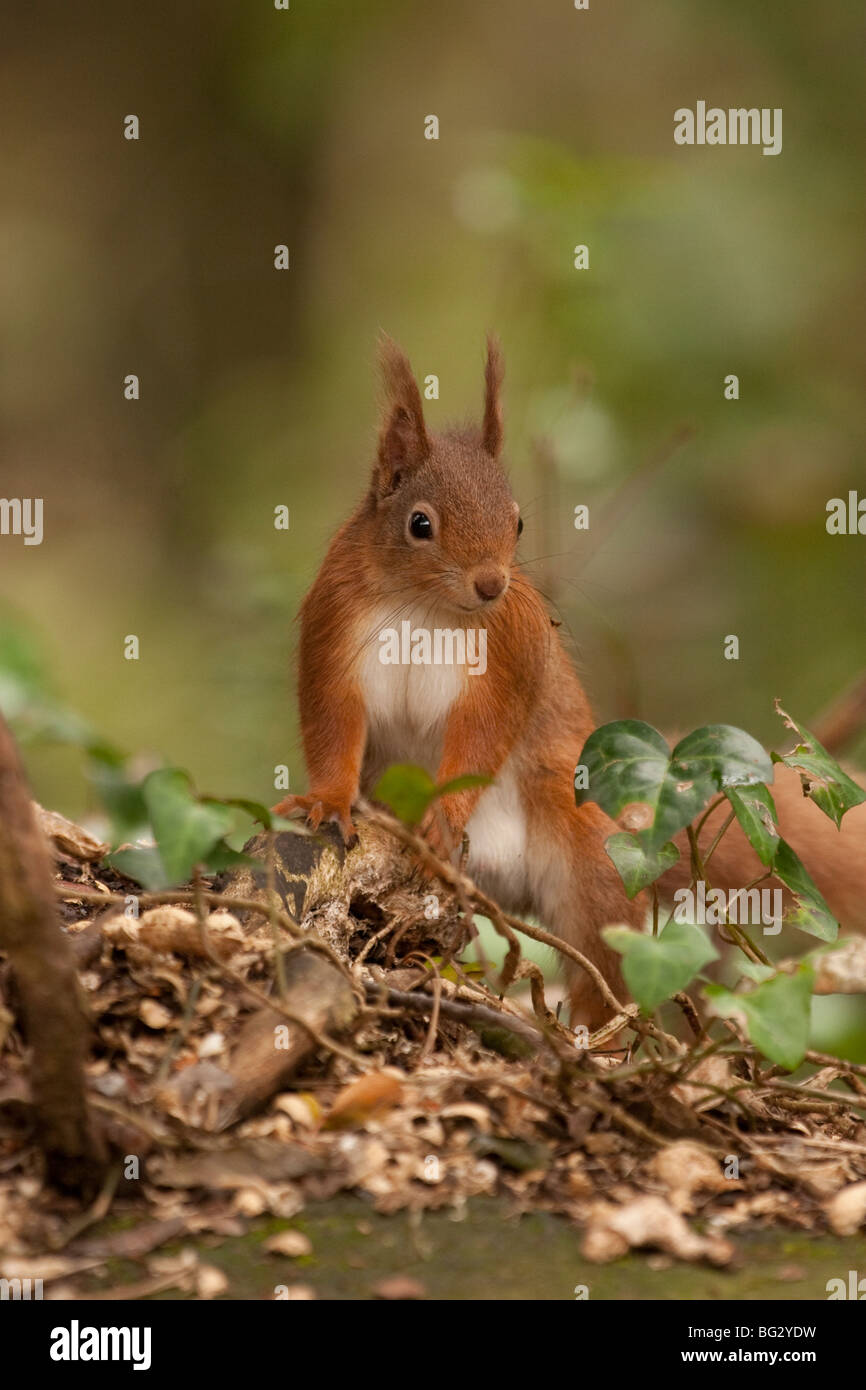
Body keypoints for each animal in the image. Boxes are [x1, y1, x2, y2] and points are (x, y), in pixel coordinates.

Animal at [275, 337, 866, 1031]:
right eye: (420, 524)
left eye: (518, 523)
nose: (492, 585)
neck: (424, 607)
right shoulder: (334, 629)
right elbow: (332, 721)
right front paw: (328, 801)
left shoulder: (508, 653)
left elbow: (483, 734)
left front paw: (442, 819)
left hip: (592, 861)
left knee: (604, 970)